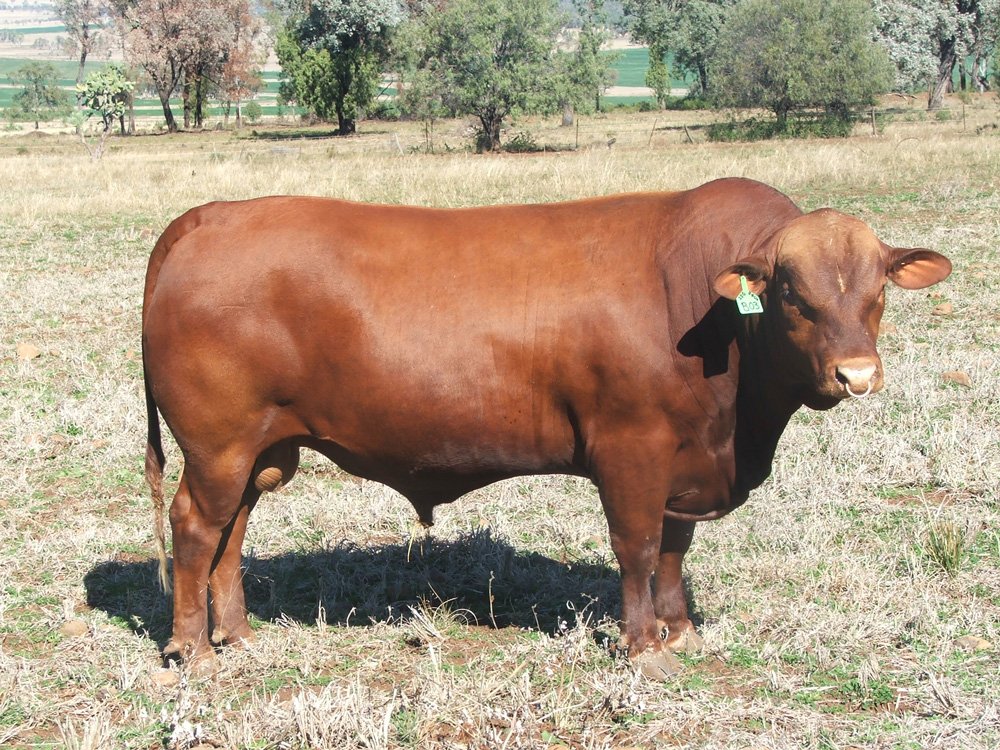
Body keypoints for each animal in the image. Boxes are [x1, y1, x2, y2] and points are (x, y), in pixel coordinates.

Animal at [142, 178, 951, 679]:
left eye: (877, 291)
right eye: (792, 295)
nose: (857, 374)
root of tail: (208, 216)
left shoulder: (686, 462)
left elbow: (672, 552)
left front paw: (681, 629)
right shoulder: (631, 449)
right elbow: (637, 548)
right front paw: (644, 647)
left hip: (261, 450)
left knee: (231, 533)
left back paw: (239, 636)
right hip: (217, 446)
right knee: (195, 527)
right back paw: (194, 651)